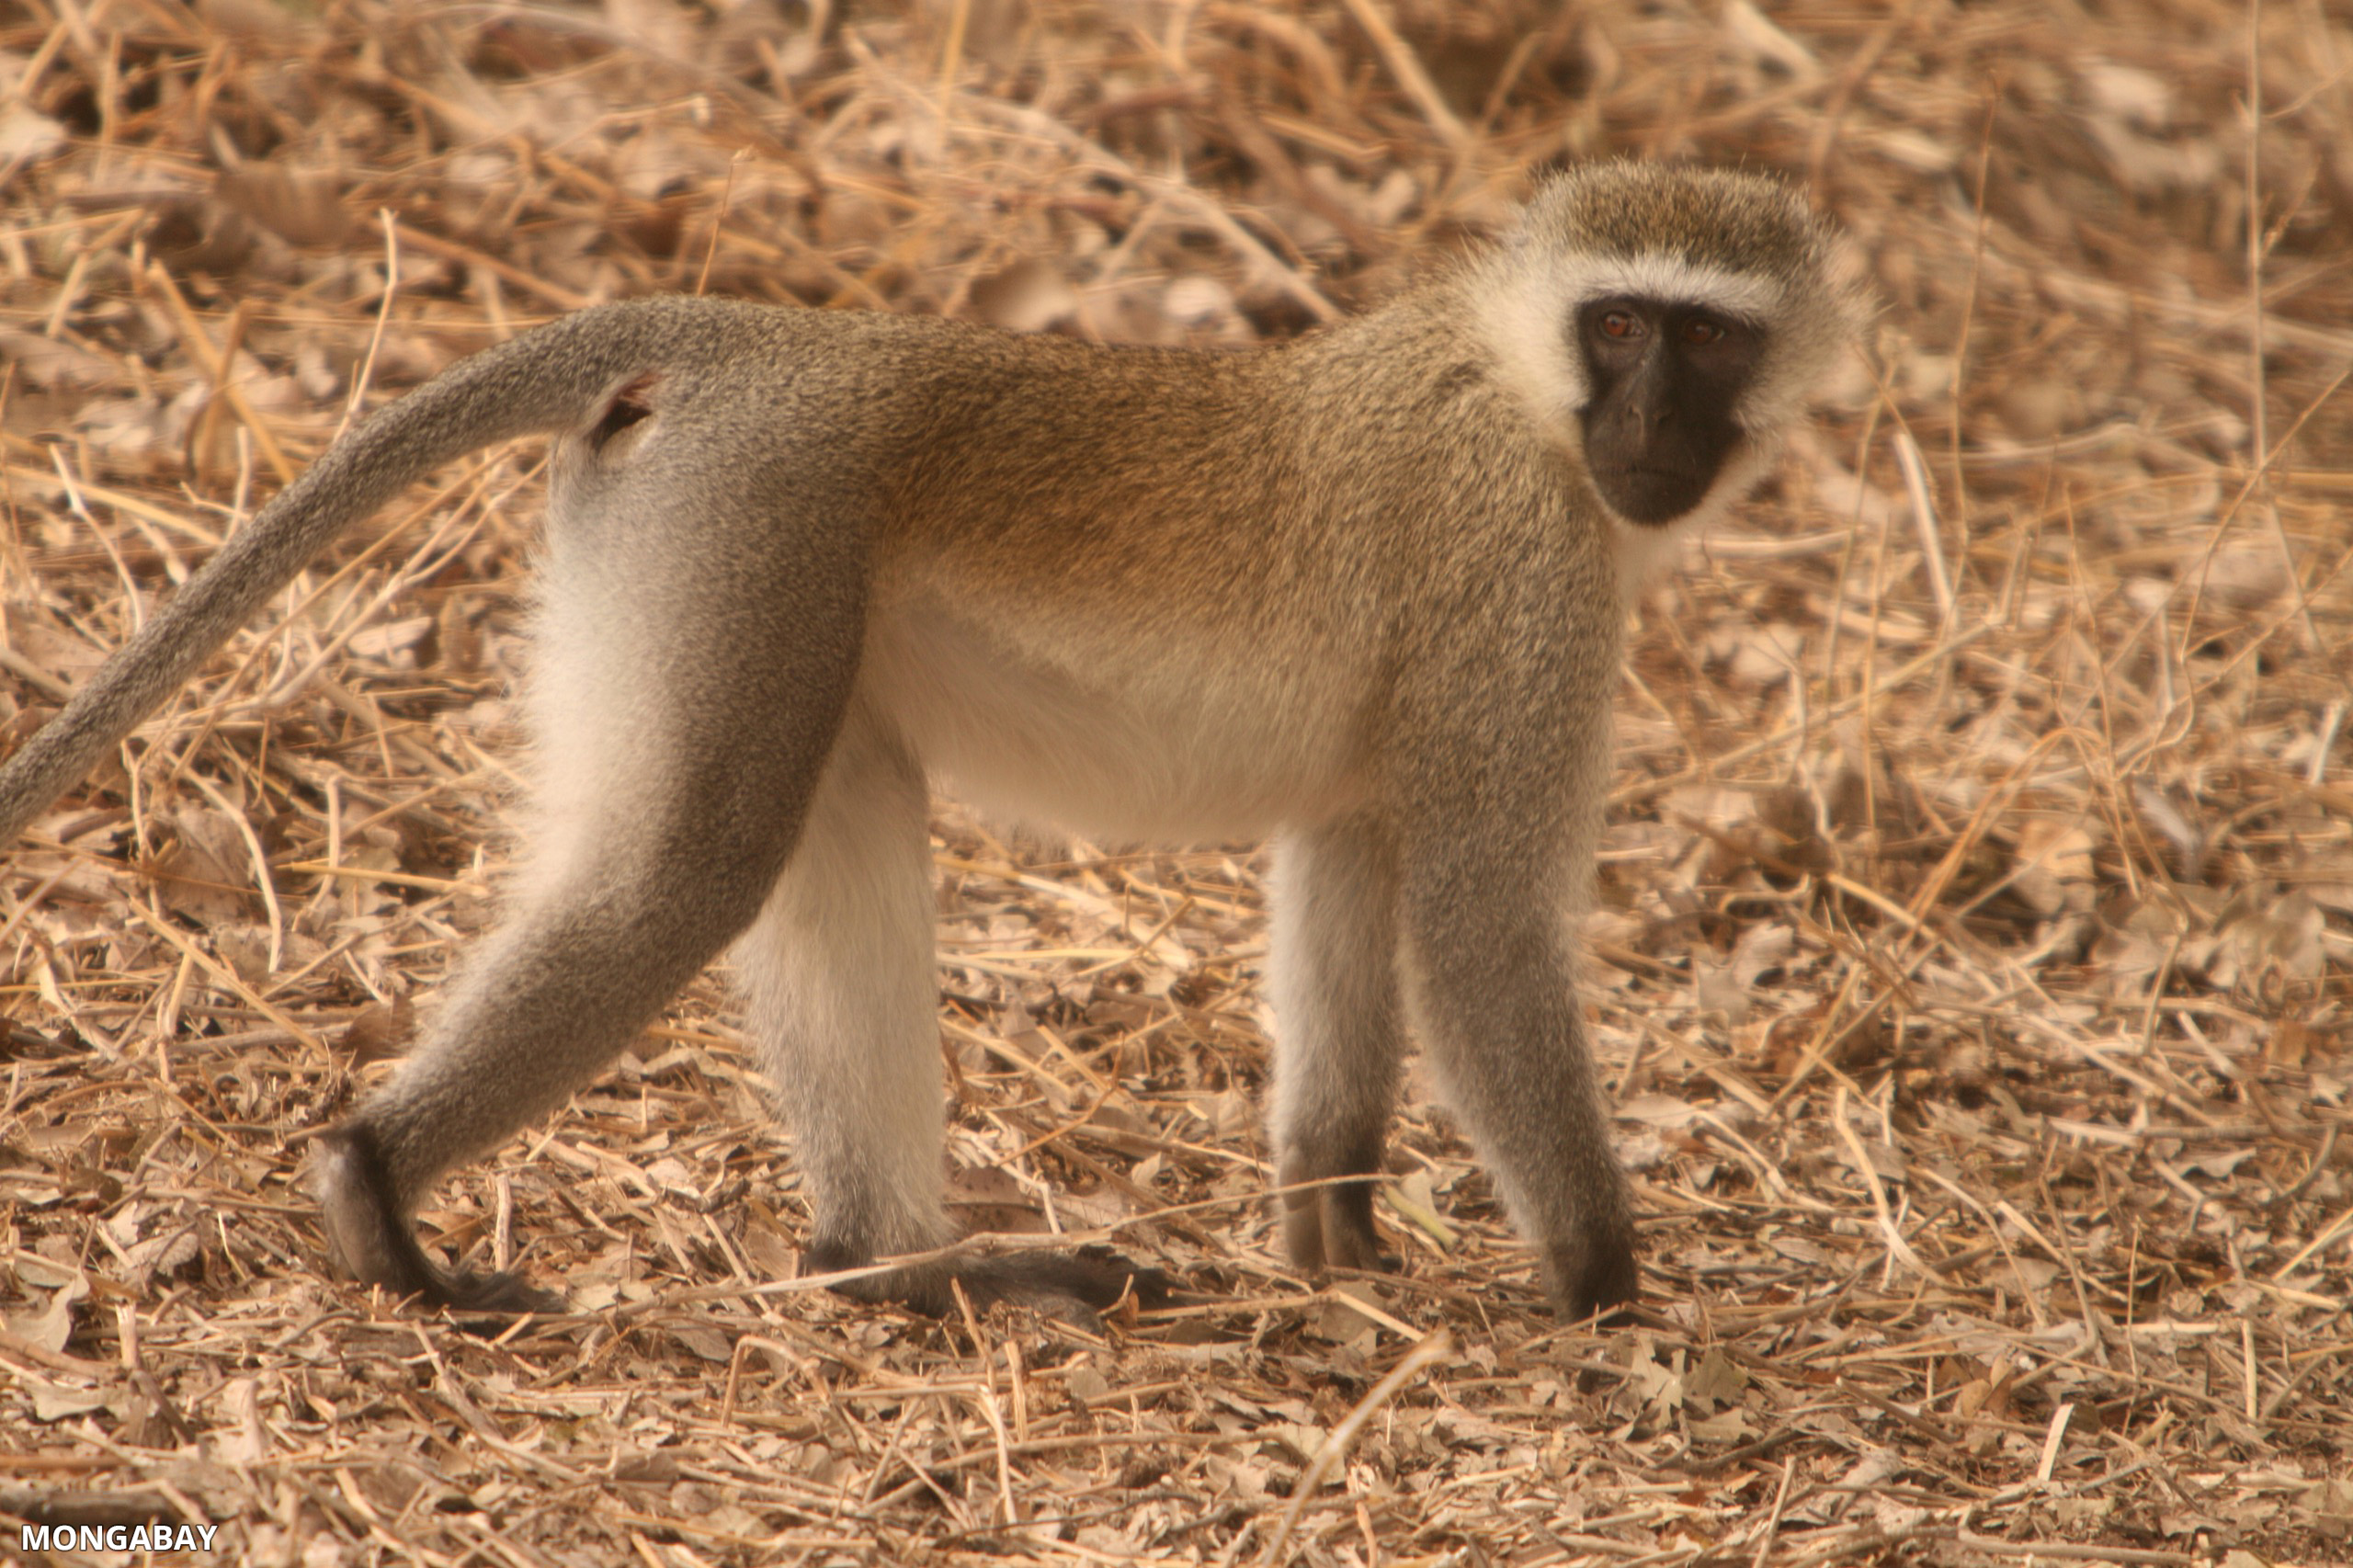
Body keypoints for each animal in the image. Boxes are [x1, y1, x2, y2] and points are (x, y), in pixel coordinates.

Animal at [0, 161, 1862, 1324]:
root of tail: (750, 337)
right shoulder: (1522, 579)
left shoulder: (1411, 719)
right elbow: (1475, 928)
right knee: (691, 867)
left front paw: (1329, 1229)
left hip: (714, 562)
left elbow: (1352, 875)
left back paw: (890, 1264)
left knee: (828, 817)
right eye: (1618, 324)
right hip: (743, 527)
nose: (1649, 420)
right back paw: (372, 1185)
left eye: (1707, 335)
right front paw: (1604, 1283)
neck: (1518, 388)